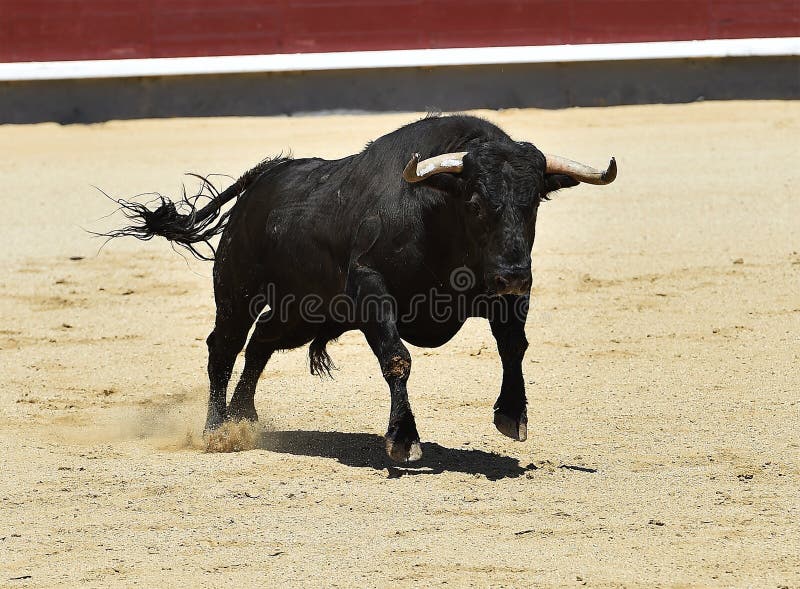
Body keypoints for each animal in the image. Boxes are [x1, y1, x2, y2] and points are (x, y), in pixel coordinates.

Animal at [107, 114, 616, 462]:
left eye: (534, 203)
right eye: (474, 203)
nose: (513, 274)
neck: (436, 215)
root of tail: (261, 182)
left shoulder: (502, 295)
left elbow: (514, 346)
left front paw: (512, 415)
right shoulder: (373, 290)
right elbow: (397, 358)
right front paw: (403, 440)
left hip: (302, 312)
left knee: (260, 345)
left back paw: (244, 419)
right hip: (236, 292)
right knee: (225, 347)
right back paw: (217, 430)